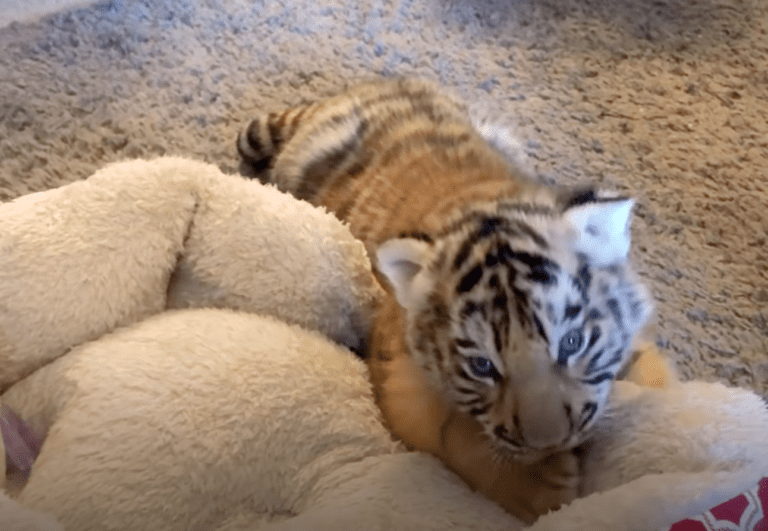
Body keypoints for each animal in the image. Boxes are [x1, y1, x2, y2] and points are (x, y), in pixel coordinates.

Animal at [236, 78, 652, 523]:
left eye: (572, 343)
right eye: (482, 366)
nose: (550, 443)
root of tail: (368, 89)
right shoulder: (395, 378)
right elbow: (452, 433)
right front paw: (543, 488)